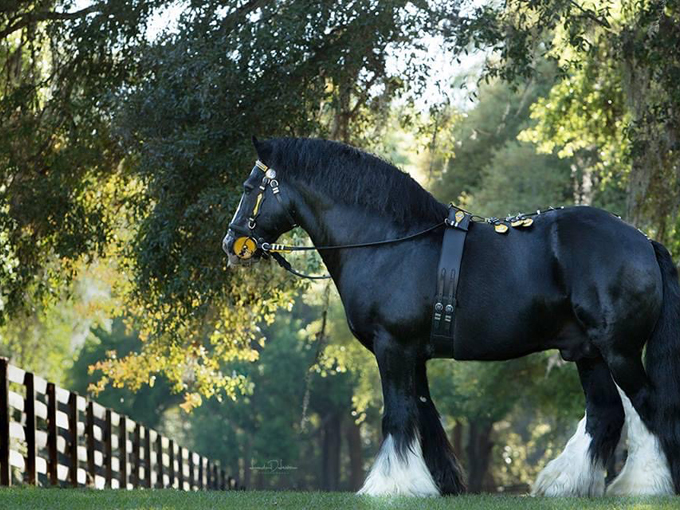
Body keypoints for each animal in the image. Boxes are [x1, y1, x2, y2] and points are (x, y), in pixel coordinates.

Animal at [222, 136, 680, 497]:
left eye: (249, 187)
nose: (232, 243)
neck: (390, 242)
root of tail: (642, 241)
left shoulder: (393, 347)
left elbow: (397, 415)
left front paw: (389, 487)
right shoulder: (413, 355)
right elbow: (424, 417)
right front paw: (438, 484)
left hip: (618, 349)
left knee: (648, 406)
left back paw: (644, 485)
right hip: (587, 352)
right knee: (606, 413)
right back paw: (564, 485)